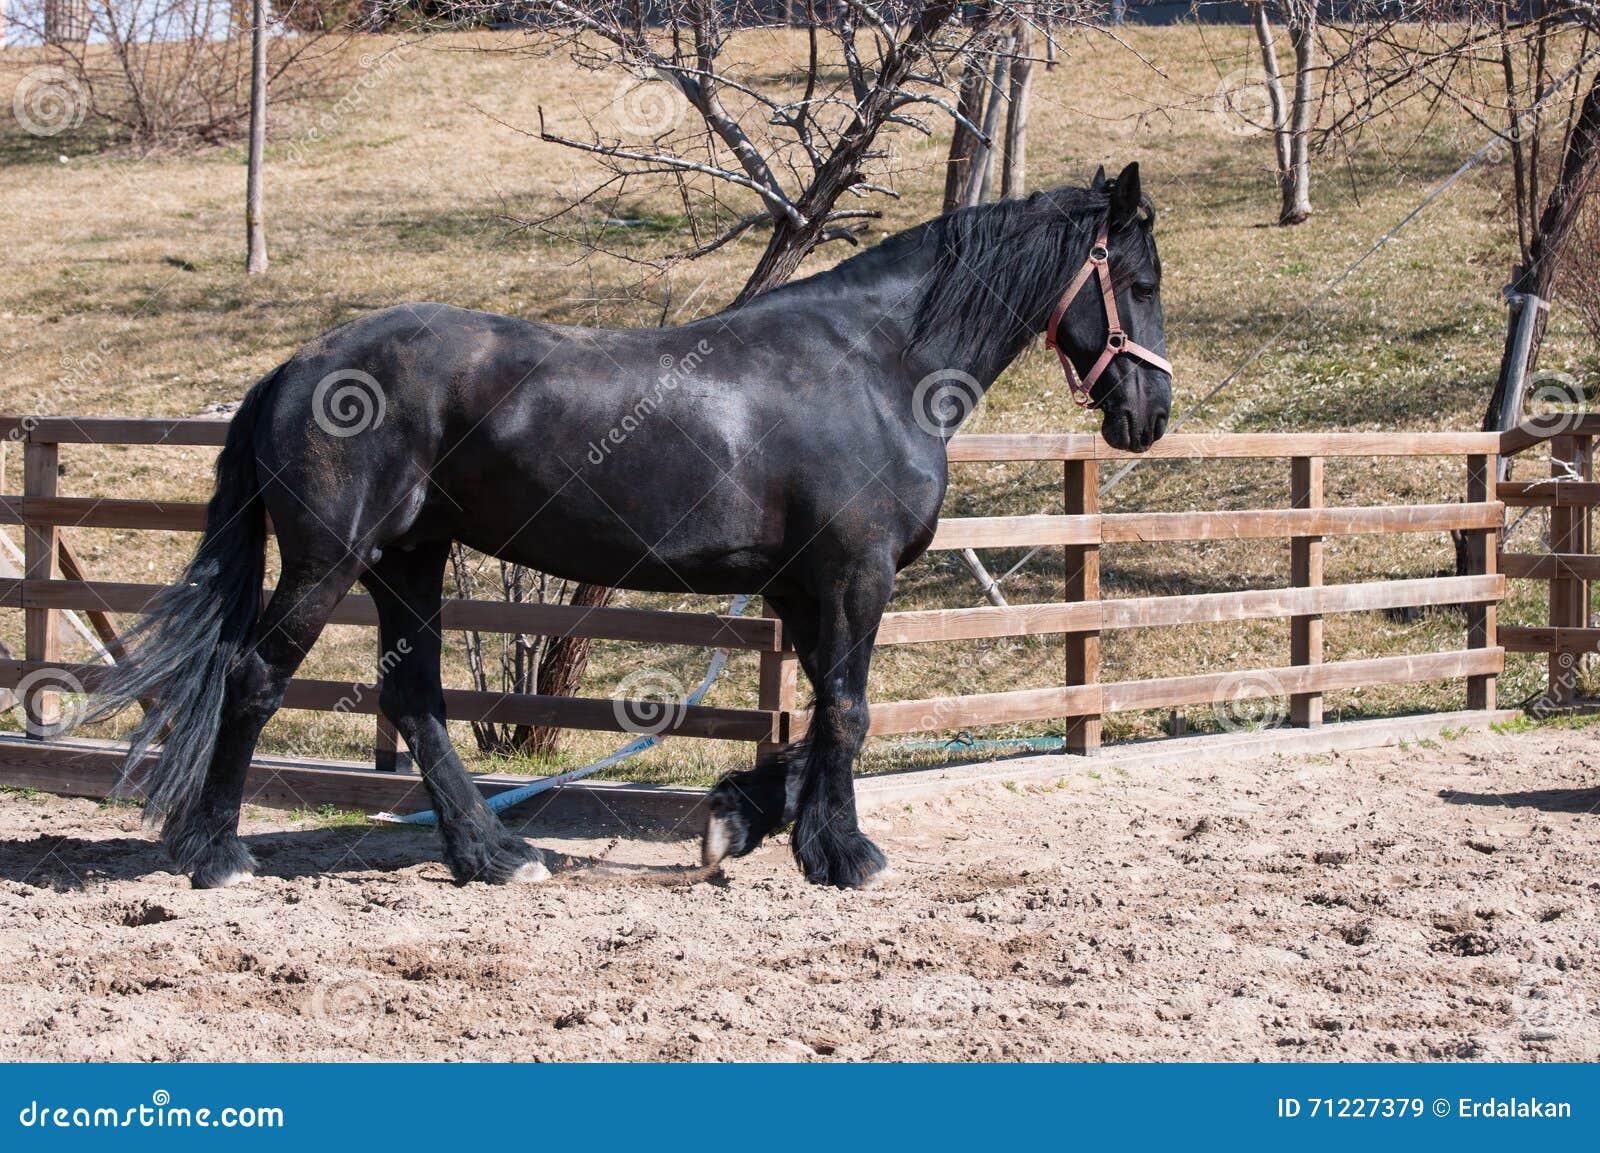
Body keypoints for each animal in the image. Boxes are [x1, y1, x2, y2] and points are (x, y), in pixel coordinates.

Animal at [86, 161, 1171, 890]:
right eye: (1144, 281)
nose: (1149, 414)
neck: (876, 361)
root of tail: (299, 364)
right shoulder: (854, 575)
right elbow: (849, 711)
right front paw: (846, 854)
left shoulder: (802, 584)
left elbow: (814, 714)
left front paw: (745, 820)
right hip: (330, 560)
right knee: (253, 678)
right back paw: (220, 855)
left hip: (410, 558)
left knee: (416, 698)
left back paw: (494, 854)